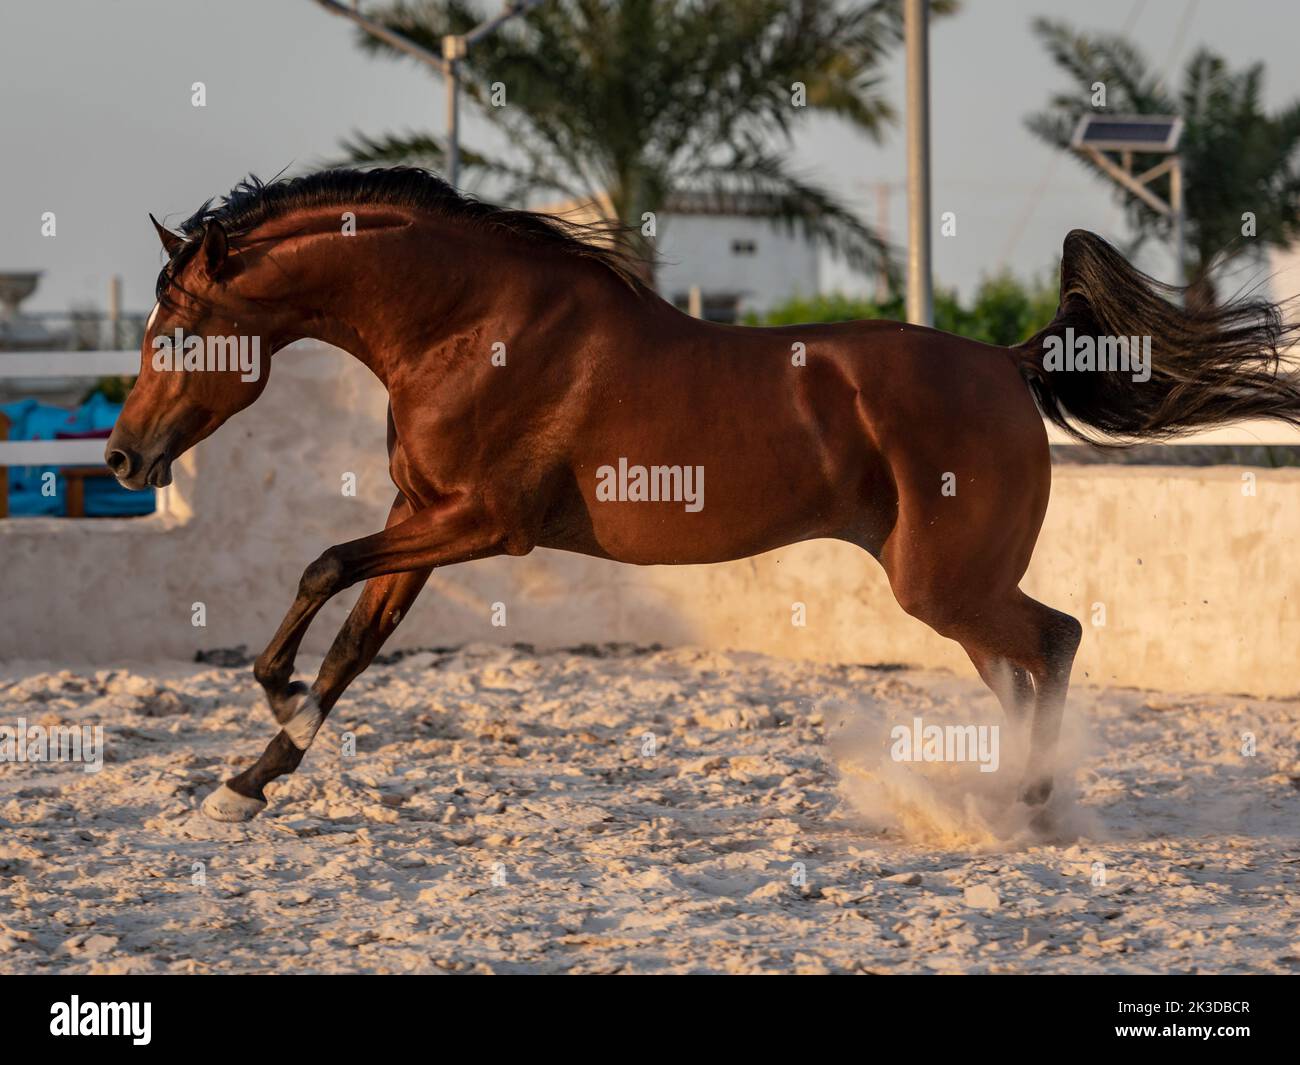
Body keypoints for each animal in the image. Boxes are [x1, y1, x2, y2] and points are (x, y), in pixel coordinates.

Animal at [106, 167, 1300, 822]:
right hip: (949, 589)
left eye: (179, 330)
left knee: (1052, 640)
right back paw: (1014, 801)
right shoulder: (421, 523)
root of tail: (1009, 362)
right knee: (1023, 664)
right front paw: (249, 779)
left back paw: (1030, 803)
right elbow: (351, 642)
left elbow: (320, 570)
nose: (121, 458)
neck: (468, 325)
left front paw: (269, 701)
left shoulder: (481, 525)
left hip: (944, 584)